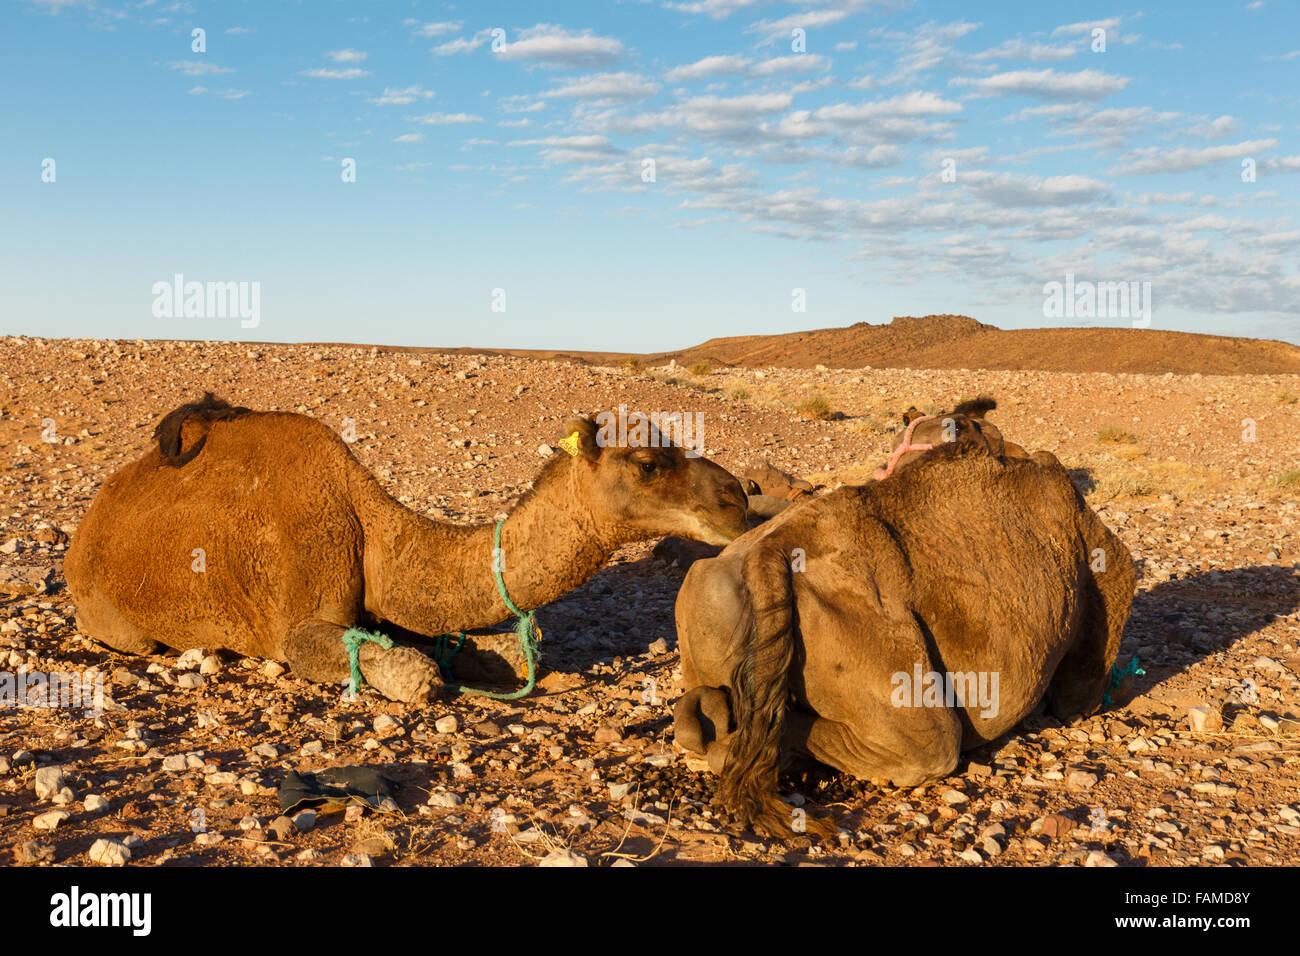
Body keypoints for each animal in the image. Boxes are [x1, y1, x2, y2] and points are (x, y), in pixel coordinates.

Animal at [65, 394, 749, 703]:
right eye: (647, 463)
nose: (737, 498)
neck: (372, 533)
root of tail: (87, 524)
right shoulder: (296, 624)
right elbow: (416, 673)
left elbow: (499, 646)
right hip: (112, 617)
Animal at [673, 442, 1135, 837]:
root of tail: (771, 554)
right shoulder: (1104, 574)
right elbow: (1075, 700)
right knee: (929, 746)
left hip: (702, 599)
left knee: (712, 717)